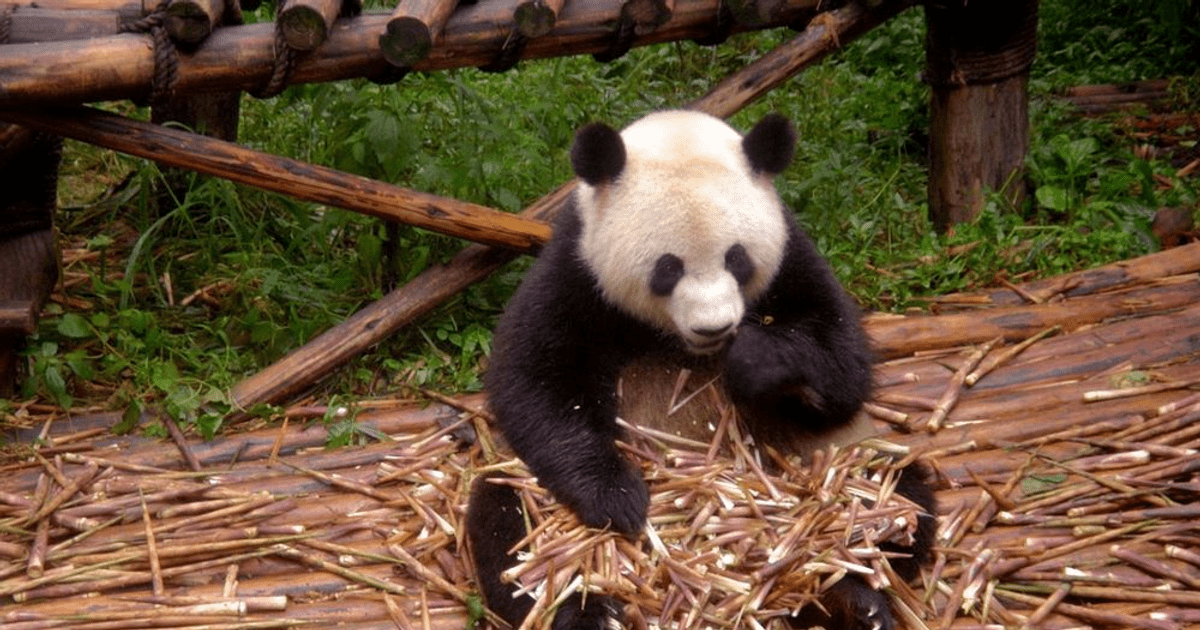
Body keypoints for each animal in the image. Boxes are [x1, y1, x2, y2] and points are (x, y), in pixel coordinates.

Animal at [466, 110, 936, 630]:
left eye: (738, 258)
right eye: (667, 268)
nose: (715, 327)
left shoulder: (792, 256)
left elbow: (842, 364)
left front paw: (755, 362)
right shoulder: (576, 269)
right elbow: (534, 379)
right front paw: (618, 497)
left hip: (845, 455)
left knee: (896, 496)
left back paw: (850, 597)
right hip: (525, 492)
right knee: (506, 526)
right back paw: (588, 613)